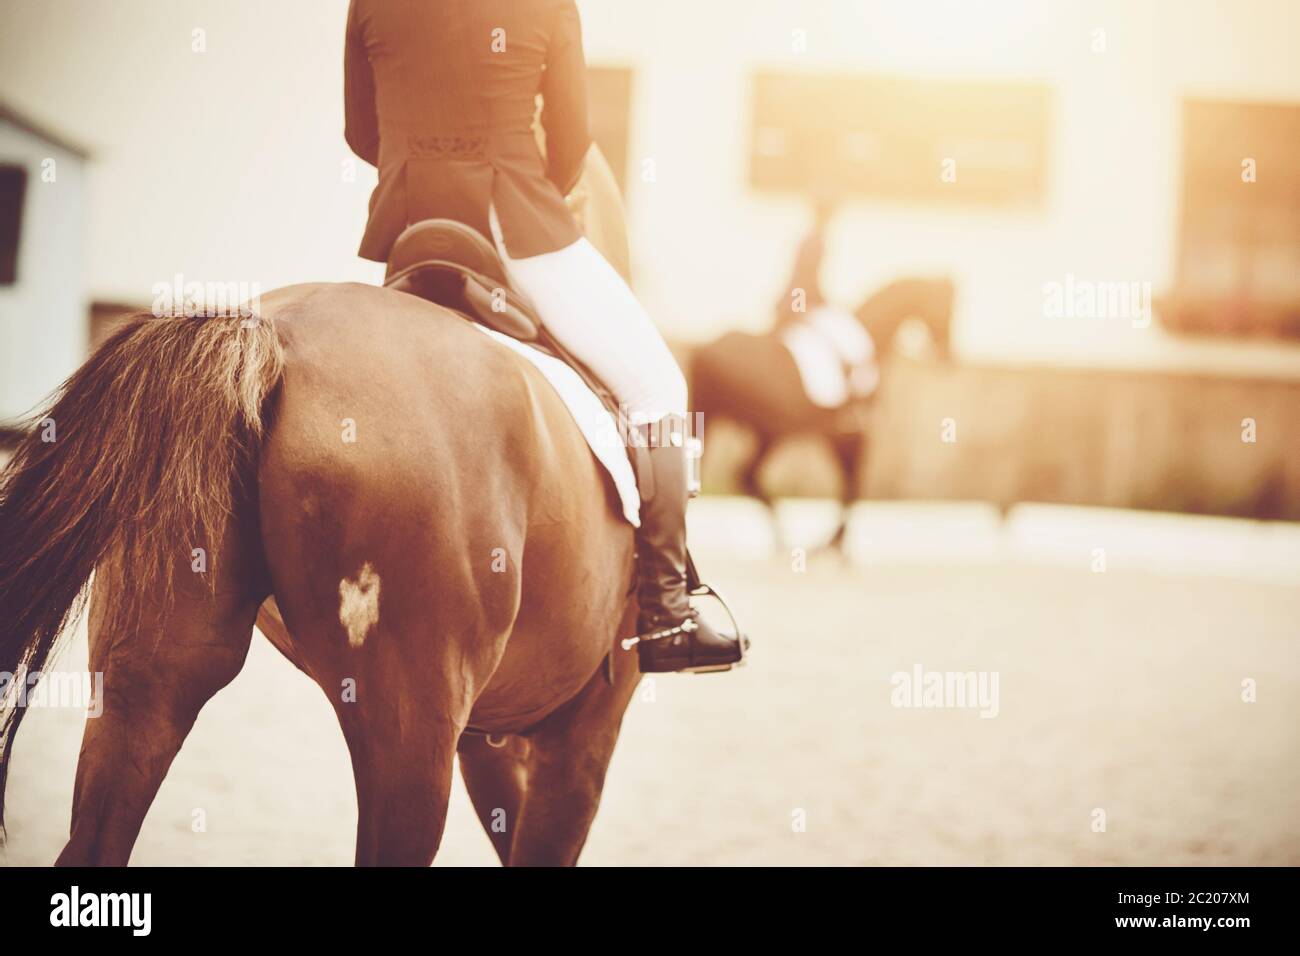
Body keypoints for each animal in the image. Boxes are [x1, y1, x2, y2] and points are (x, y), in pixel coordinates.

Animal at [689, 277, 955, 550]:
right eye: (948, 306)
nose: (947, 354)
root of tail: (708, 346)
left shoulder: (836, 436)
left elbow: (851, 485)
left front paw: (834, 539)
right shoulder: (853, 435)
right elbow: (854, 485)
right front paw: (836, 539)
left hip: (764, 431)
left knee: (745, 475)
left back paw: (782, 536)